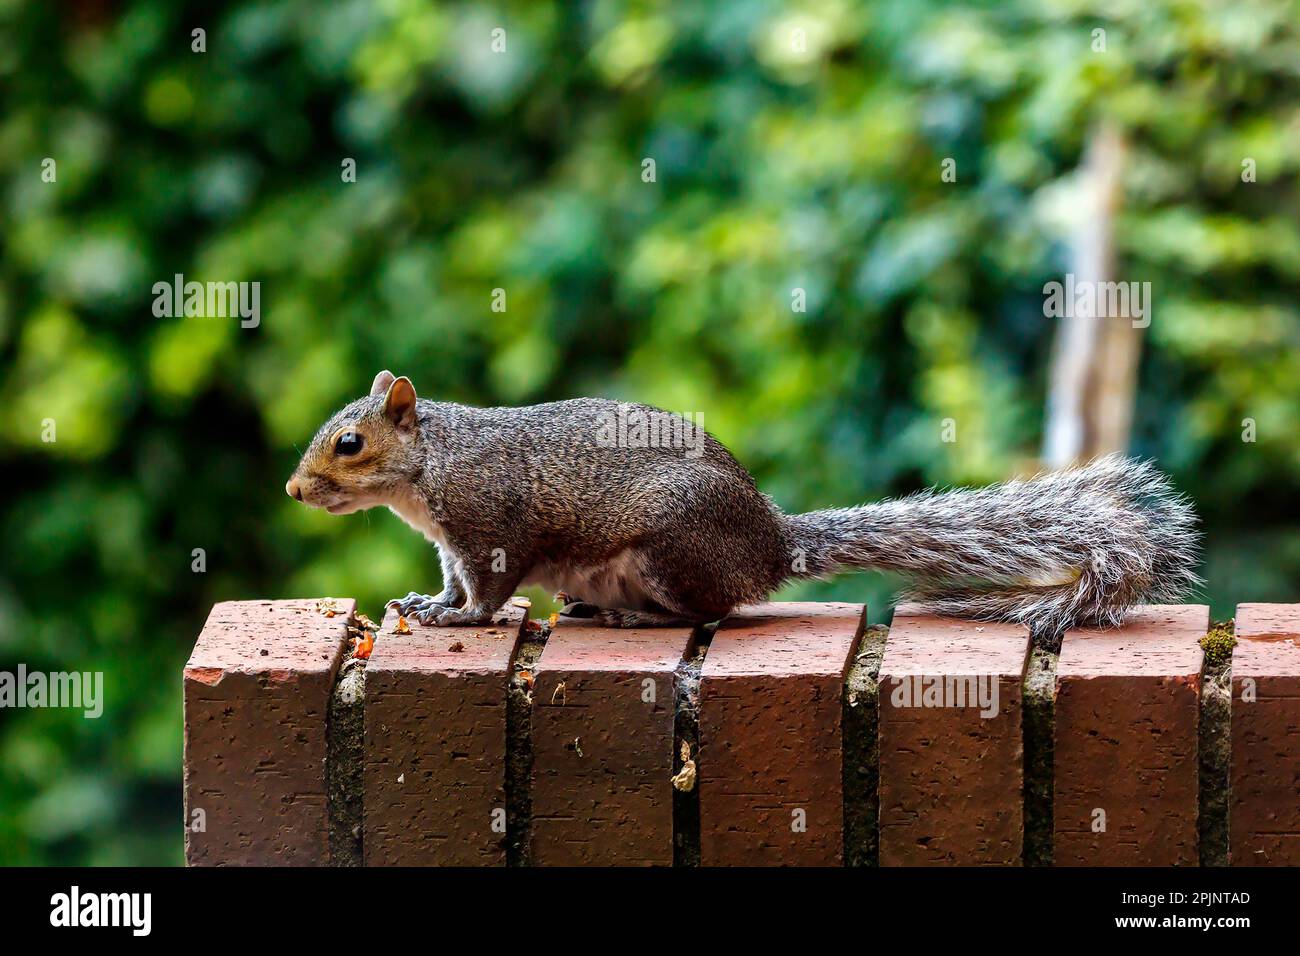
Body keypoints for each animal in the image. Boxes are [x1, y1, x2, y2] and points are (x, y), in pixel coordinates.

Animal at [285, 370, 1200, 635]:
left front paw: (466, 620)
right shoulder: (450, 542)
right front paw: (425, 604)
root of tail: (768, 541)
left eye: (349, 444)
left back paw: (633, 618)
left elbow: (488, 589)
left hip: (671, 546)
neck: (430, 472)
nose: (295, 490)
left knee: (711, 612)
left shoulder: (492, 526)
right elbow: (448, 581)